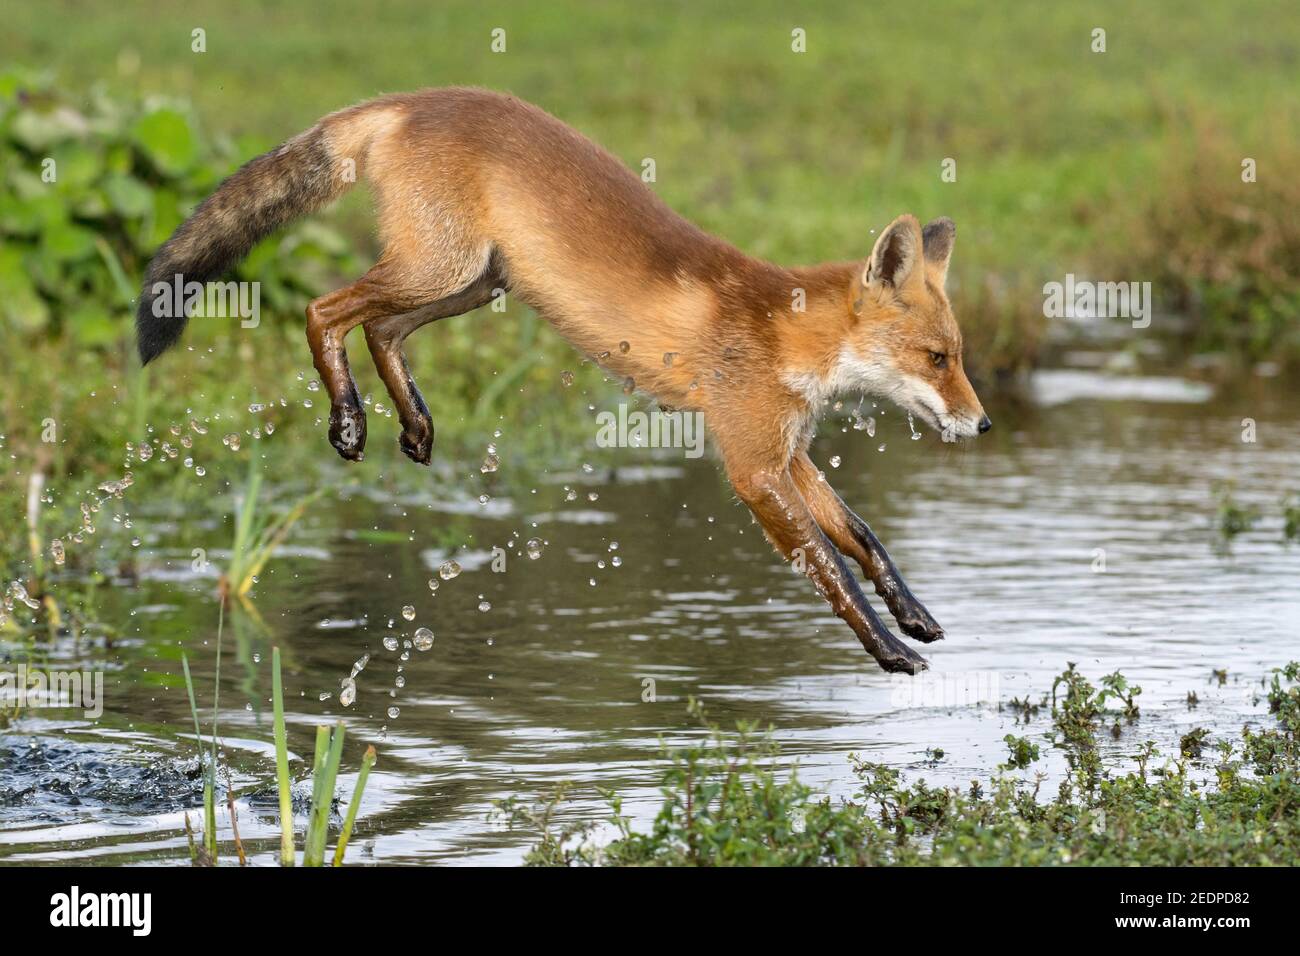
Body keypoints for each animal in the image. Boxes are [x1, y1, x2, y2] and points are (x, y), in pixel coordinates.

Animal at [136, 87, 991, 674]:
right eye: (938, 359)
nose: (983, 426)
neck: (783, 333)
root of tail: (416, 96)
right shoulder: (753, 463)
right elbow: (830, 566)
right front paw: (888, 650)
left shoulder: (787, 450)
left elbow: (864, 537)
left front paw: (912, 614)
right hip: (439, 269)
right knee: (324, 310)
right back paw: (348, 419)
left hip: (475, 281)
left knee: (378, 328)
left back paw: (412, 422)